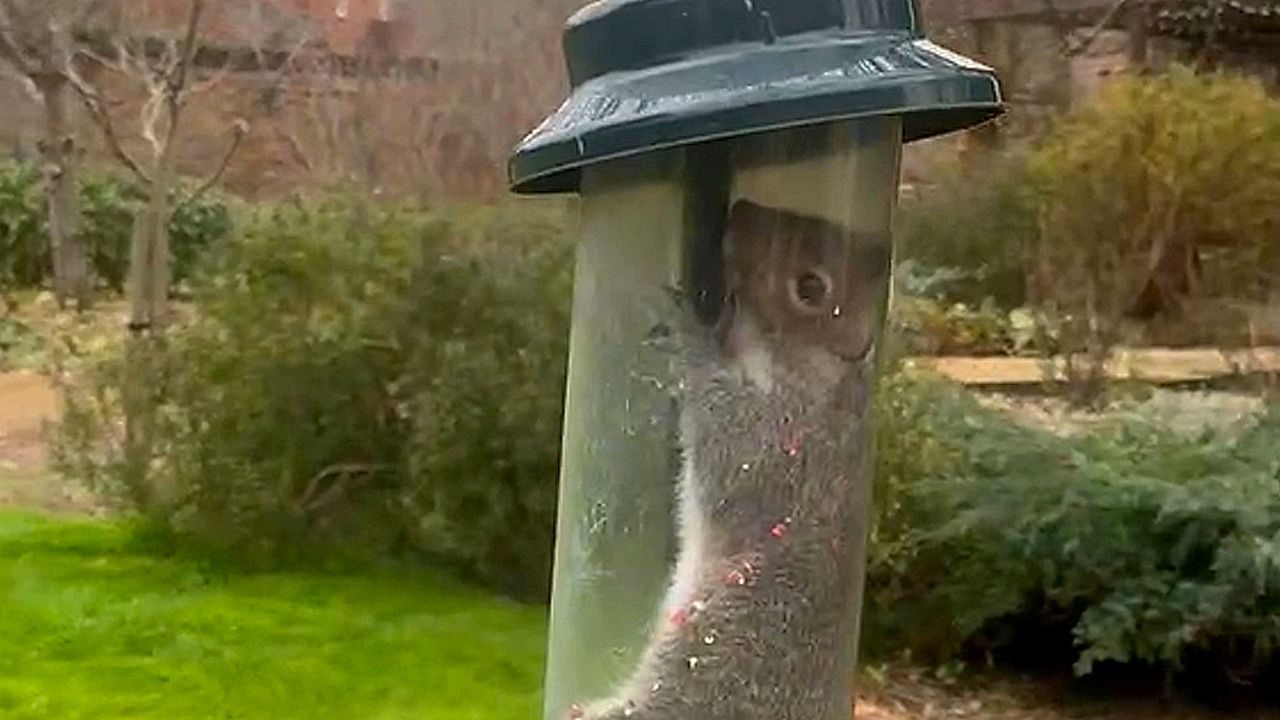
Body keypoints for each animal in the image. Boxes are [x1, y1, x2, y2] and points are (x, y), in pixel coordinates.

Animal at [574, 199, 889, 720]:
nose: (741, 210)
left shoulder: (794, 440)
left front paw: (692, 340)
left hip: (715, 646)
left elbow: (732, 452)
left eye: (811, 288)